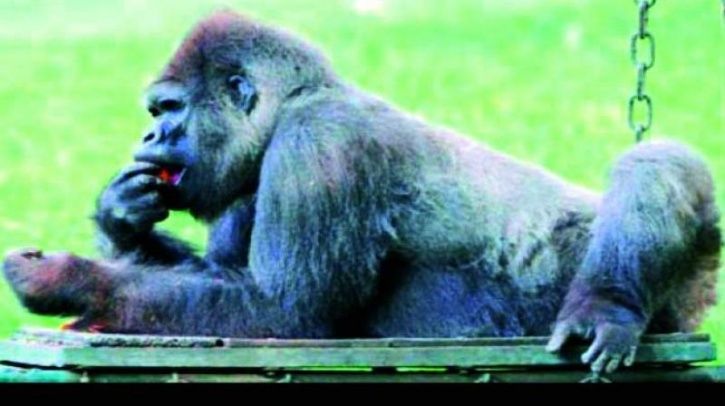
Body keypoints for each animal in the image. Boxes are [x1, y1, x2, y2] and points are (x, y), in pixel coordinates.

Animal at [3, 10, 720, 375]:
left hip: (677, 273)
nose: (149, 134)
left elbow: (282, 313)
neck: (298, 100)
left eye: (168, 109)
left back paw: (608, 303)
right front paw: (120, 220)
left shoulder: (318, 146)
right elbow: (216, 284)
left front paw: (73, 280)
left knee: (655, 166)